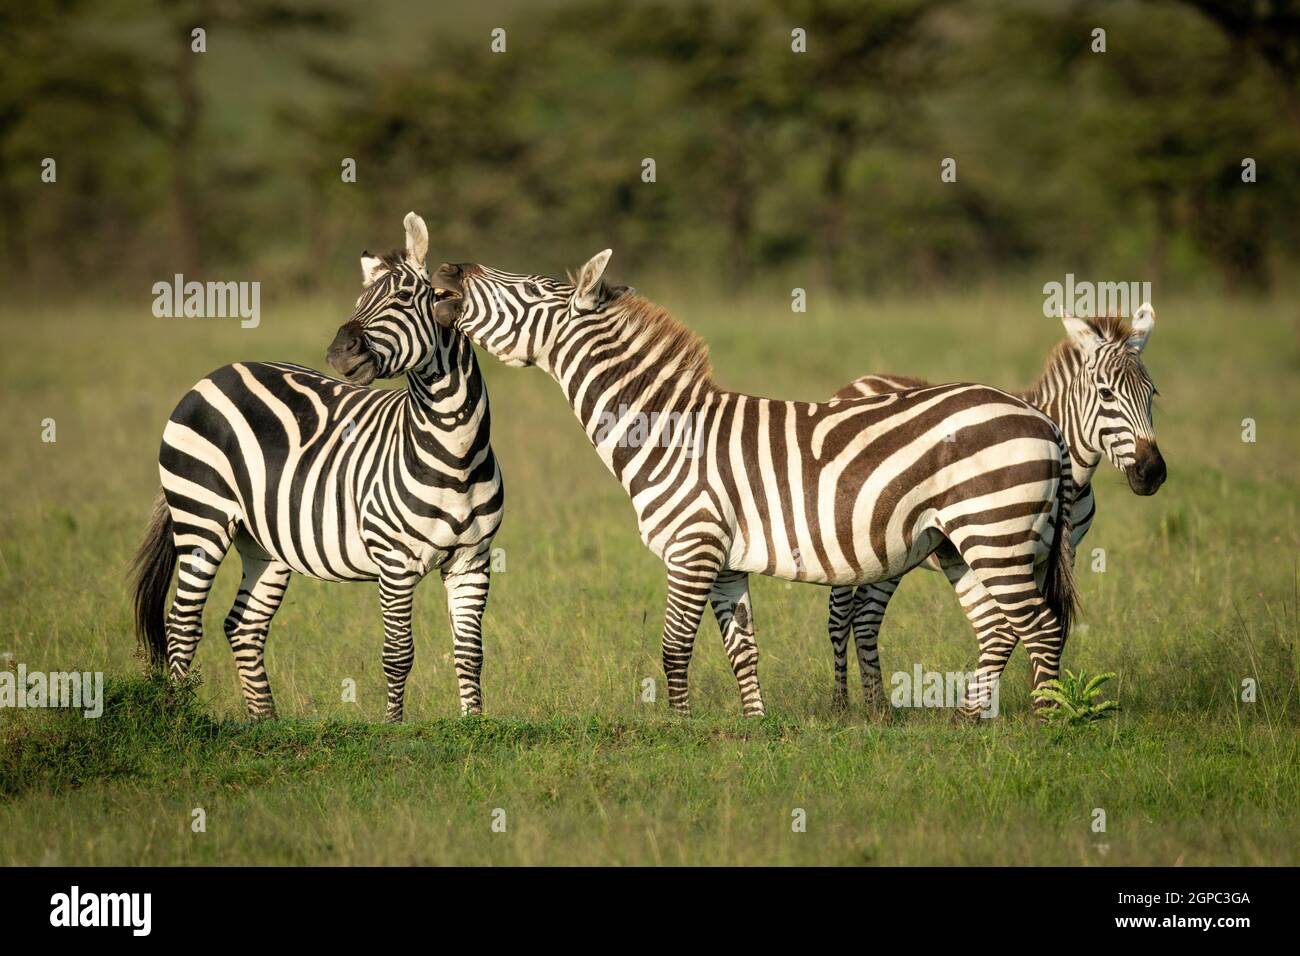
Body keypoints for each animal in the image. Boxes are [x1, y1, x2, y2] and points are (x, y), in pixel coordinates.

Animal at [130, 213, 501, 721]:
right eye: (359, 302)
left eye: (404, 298)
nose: (339, 352)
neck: (455, 452)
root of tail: (216, 374)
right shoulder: (394, 562)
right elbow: (398, 654)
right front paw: (394, 727)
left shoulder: (472, 561)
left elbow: (470, 652)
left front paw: (473, 725)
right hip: (202, 517)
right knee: (183, 623)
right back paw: (179, 717)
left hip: (264, 543)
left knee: (243, 627)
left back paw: (265, 723)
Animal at [432, 250, 1078, 721]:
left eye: (531, 289)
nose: (448, 270)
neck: (666, 431)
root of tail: (1041, 418)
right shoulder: (723, 560)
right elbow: (742, 649)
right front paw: (754, 726)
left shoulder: (691, 546)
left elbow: (673, 647)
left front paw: (679, 730)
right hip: (960, 543)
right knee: (997, 629)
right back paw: (969, 723)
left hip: (994, 530)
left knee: (1040, 628)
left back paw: (1045, 726)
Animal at [824, 308, 1165, 707]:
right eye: (1106, 393)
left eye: (1152, 394)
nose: (1153, 473)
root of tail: (859, 381)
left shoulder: (1057, 554)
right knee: (844, 616)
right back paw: (843, 704)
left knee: (864, 615)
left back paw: (875, 706)